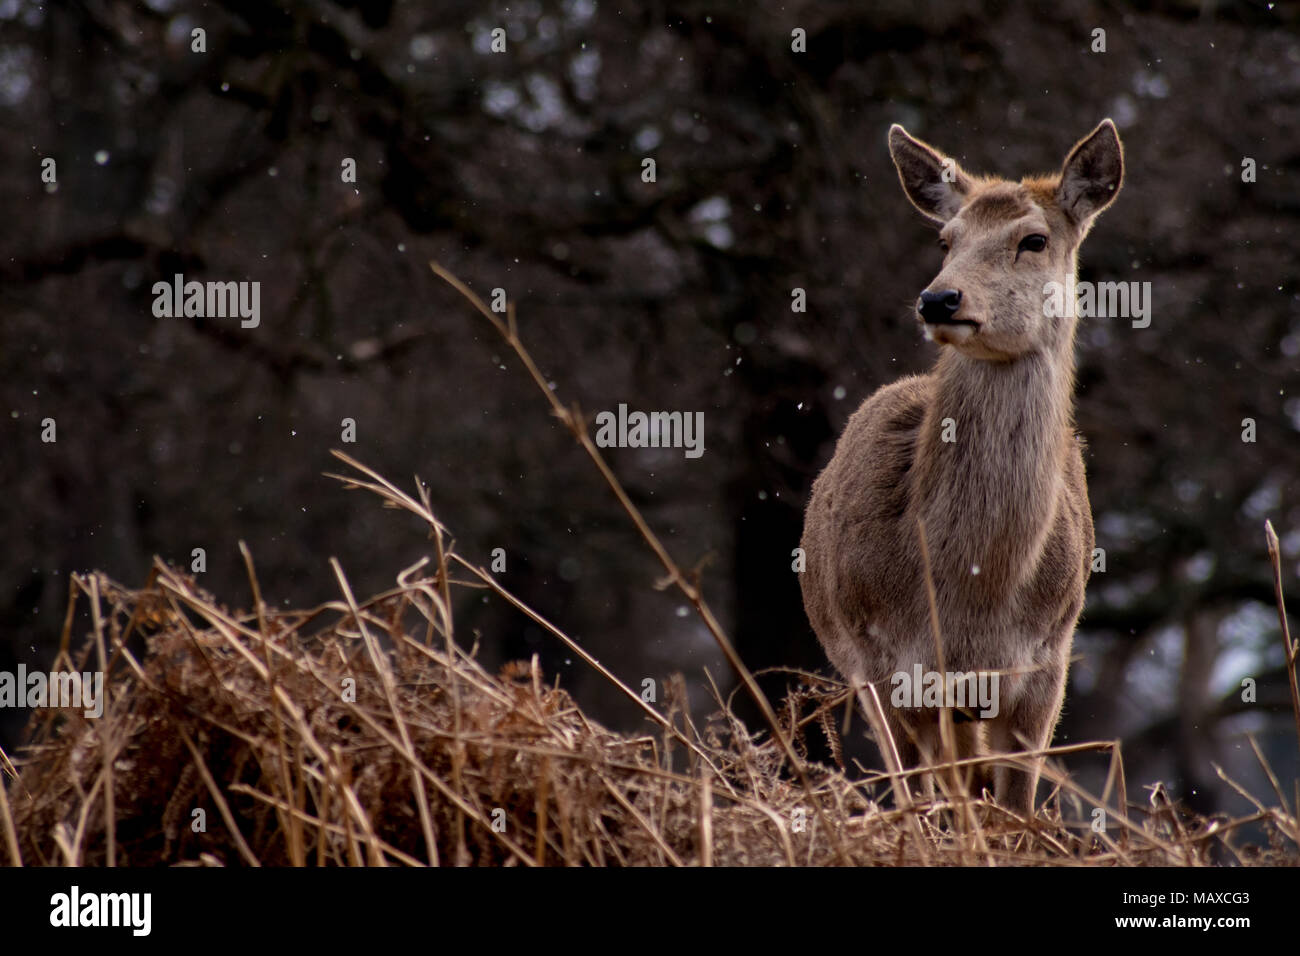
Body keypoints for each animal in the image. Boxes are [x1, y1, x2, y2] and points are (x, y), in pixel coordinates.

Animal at [799, 119, 1123, 816]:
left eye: (1034, 239)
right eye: (946, 240)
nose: (939, 298)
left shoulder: (1044, 665)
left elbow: (1015, 811)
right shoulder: (883, 663)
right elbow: (918, 805)